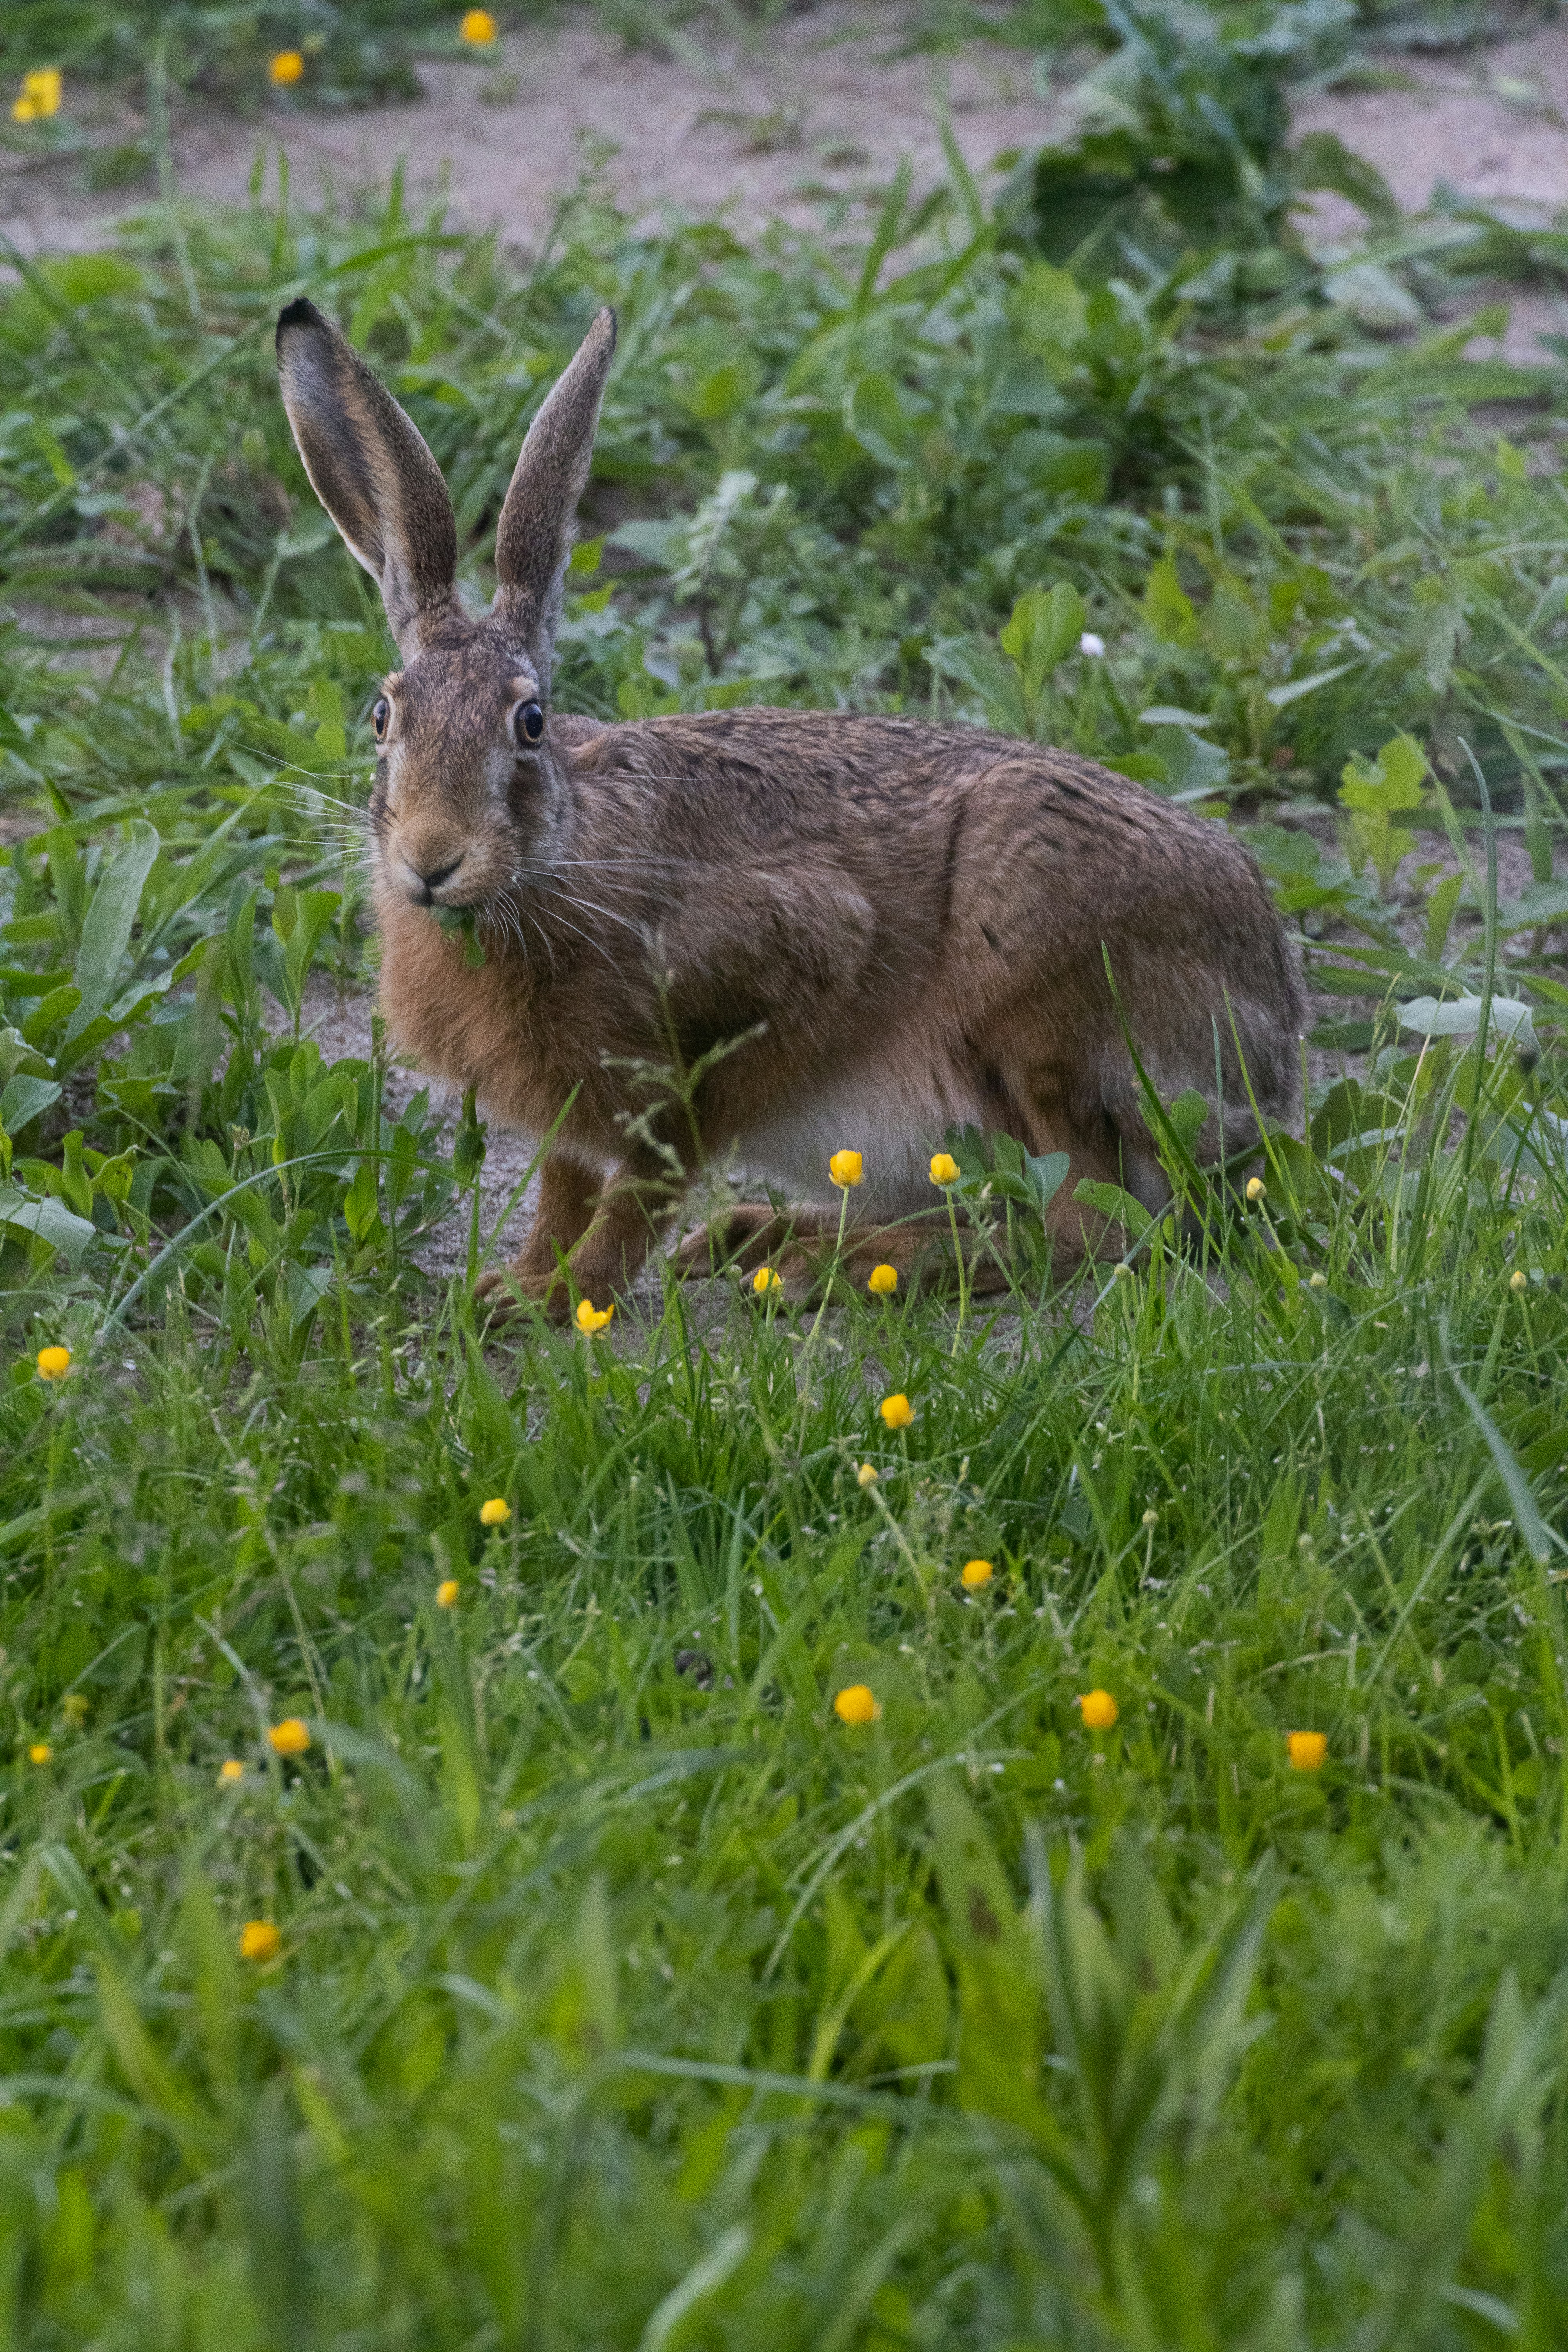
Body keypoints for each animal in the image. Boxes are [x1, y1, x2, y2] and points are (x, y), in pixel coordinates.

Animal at [275, 295, 1304, 1316]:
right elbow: (563, 1192)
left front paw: (575, 1301)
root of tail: (1272, 1052)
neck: (557, 860)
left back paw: (827, 1267)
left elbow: (649, 1180)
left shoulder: (779, 975)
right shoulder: (567, 1114)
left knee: (1090, 1224)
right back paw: (761, 1237)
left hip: (1039, 989)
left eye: (529, 723)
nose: (431, 858)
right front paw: (518, 1289)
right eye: (382, 716)